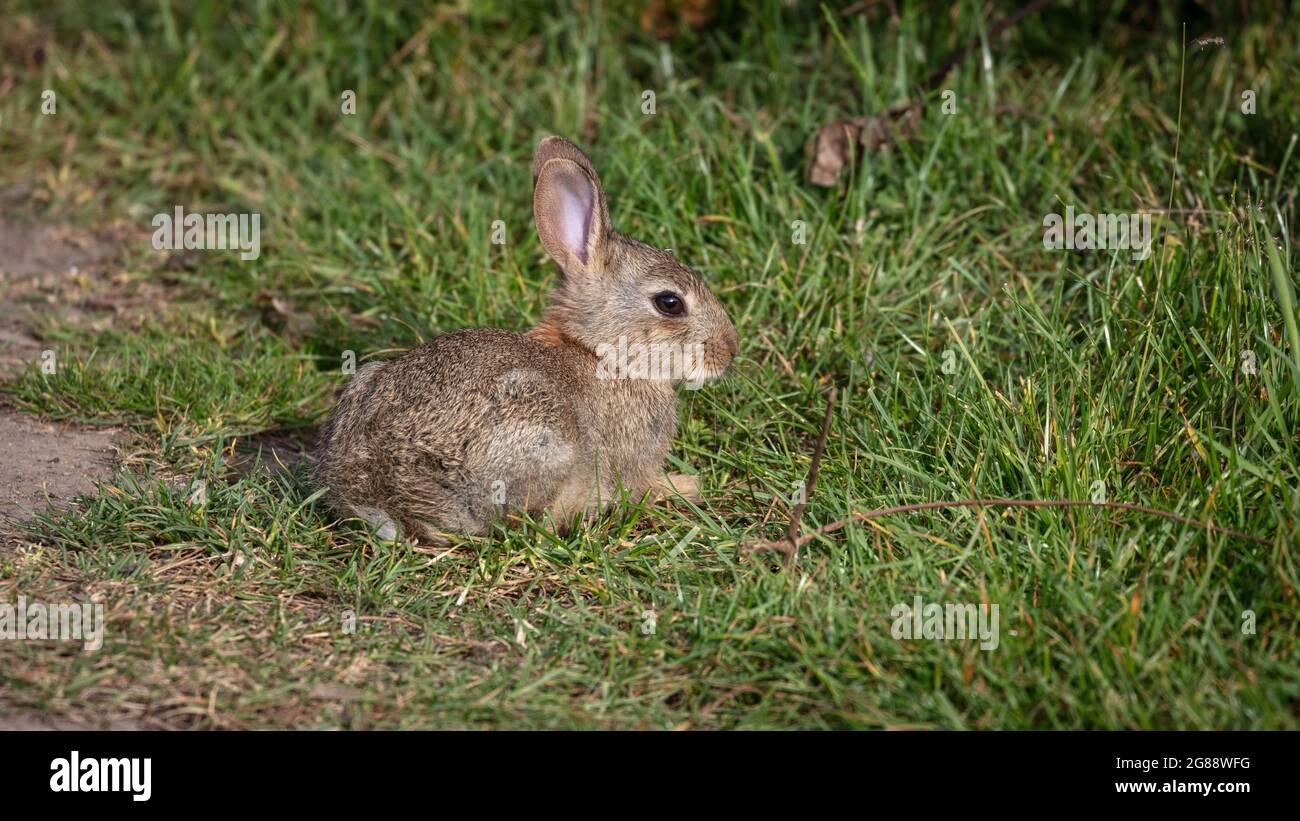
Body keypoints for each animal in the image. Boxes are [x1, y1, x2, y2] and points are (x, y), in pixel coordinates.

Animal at [312, 136, 740, 544]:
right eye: (670, 303)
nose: (729, 350)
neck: (600, 352)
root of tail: (379, 491)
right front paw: (688, 485)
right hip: (542, 438)